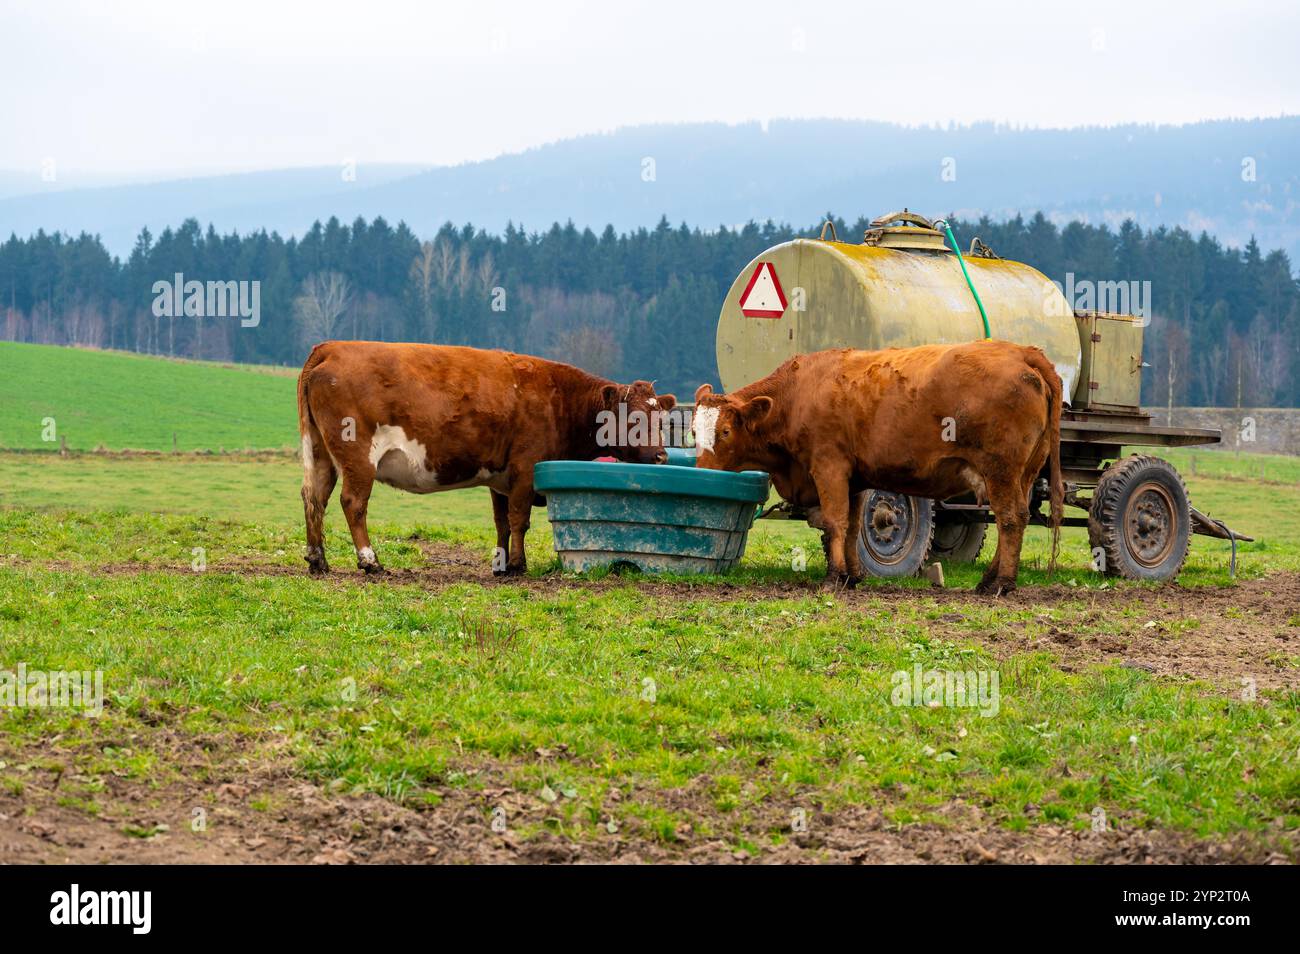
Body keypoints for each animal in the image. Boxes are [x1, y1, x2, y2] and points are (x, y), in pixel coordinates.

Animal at [297, 341, 676, 577]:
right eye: (631, 419)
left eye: (662, 420)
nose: (660, 455)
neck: (561, 400)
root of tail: (331, 347)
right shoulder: (525, 470)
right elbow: (520, 520)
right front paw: (519, 566)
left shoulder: (501, 477)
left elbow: (502, 523)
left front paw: (501, 564)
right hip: (358, 456)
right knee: (353, 502)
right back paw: (370, 561)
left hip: (320, 452)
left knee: (314, 498)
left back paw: (318, 559)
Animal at [692, 341, 1063, 595]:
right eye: (694, 430)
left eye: (725, 432)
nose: (702, 469)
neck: (798, 394)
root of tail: (1020, 352)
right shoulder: (855, 479)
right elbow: (852, 526)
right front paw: (852, 576)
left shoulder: (829, 466)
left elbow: (835, 522)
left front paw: (833, 577)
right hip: (1023, 474)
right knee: (1016, 517)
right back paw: (989, 579)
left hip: (1001, 471)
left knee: (1010, 518)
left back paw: (1001, 583)